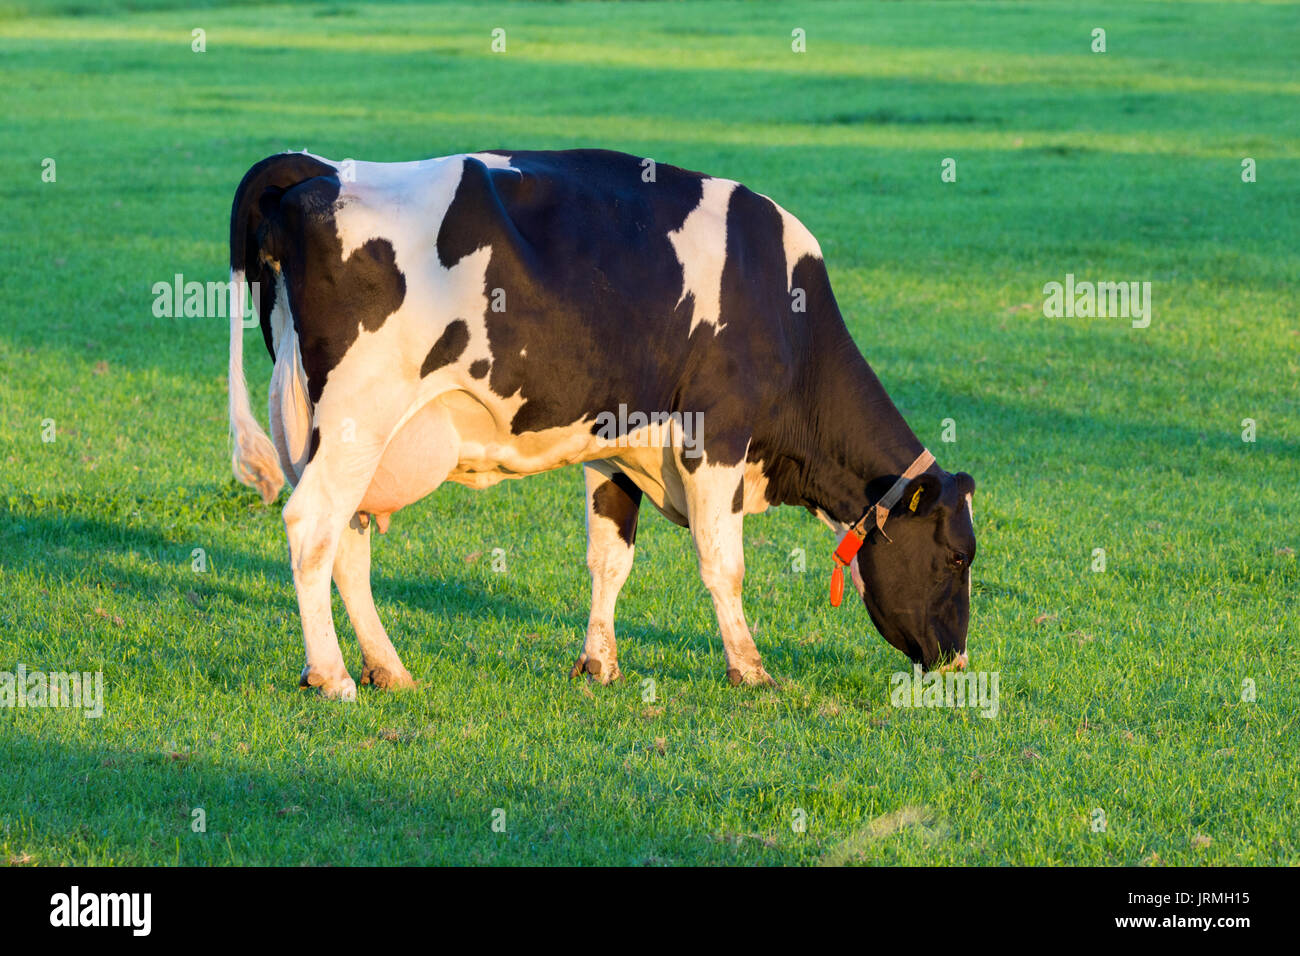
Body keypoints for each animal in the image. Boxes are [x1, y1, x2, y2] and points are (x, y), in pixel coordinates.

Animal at [227, 149, 976, 701]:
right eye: (957, 556)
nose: (957, 659)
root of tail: (321, 169)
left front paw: (598, 664)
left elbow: (609, 558)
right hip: (358, 415)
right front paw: (751, 668)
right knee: (311, 527)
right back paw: (331, 675)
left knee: (347, 542)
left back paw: (390, 668)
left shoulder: (617, 448)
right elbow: (723, 562)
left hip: (343, 433)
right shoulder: (718, 436)